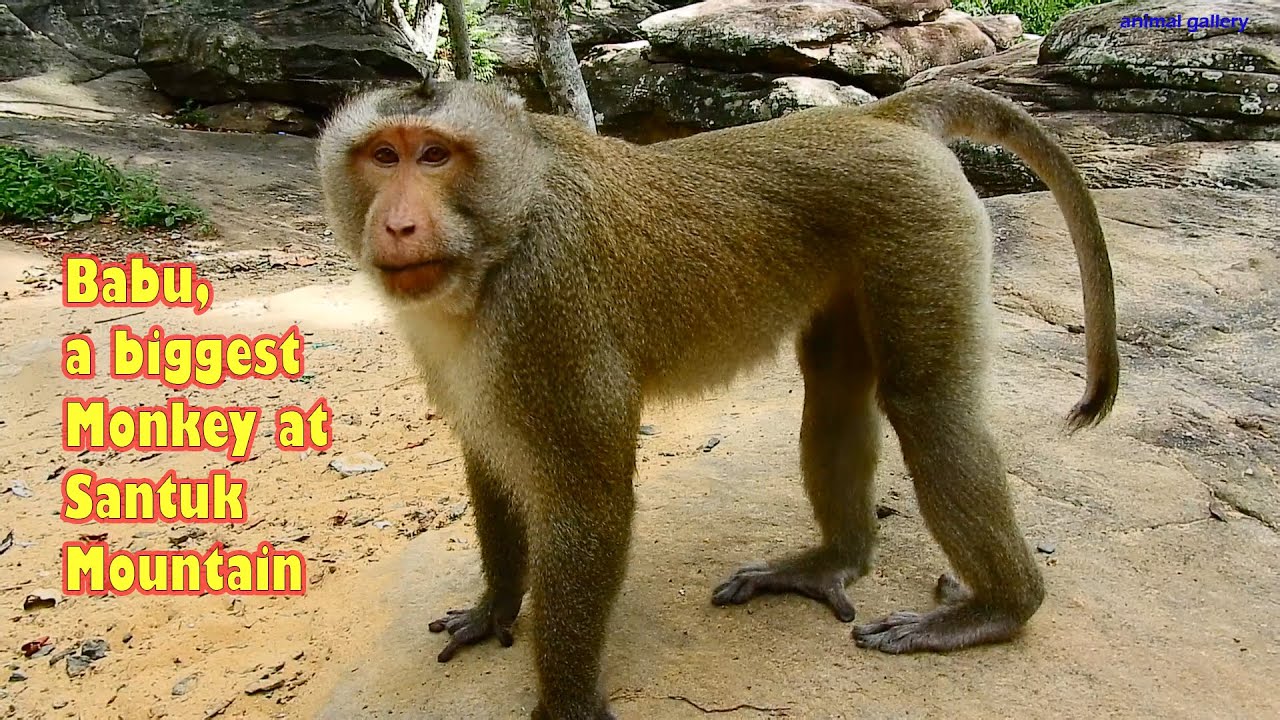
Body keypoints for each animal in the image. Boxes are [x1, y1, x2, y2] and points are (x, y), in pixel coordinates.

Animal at [316, 78, 1119, 720]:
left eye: (434, 156)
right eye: (383, 156)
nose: (398, 223)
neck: (503, 233)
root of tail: (879, 116)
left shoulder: (549, 307)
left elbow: (587, 503)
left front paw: (565, 703)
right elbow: (490, 458)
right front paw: (494, 607)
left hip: (919, 224)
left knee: (926, 404)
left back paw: (1004, 608)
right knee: (835, 390)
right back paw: (833, 560)